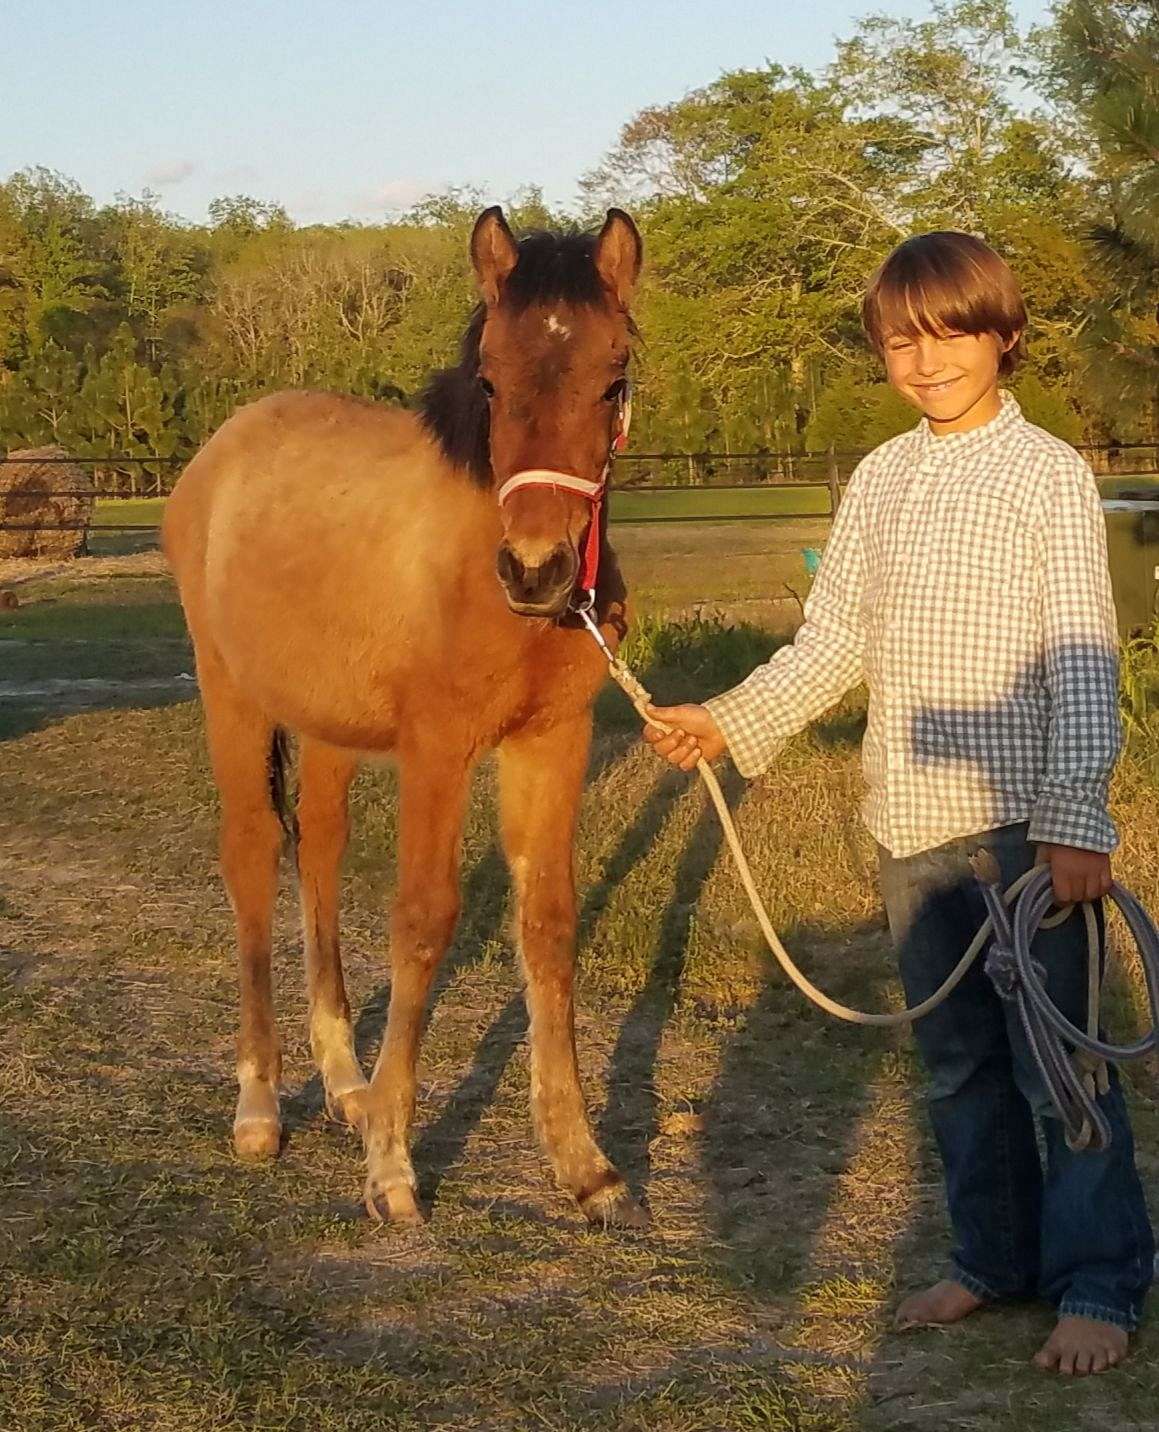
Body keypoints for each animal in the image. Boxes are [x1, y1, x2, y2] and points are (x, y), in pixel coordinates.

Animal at [163, 206, 646, 1228]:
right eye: (490, 379)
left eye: (613, 377)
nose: (537, 572)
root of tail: (219, 453)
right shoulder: (438, 750)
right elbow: (423, 920)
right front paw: (391, 1167)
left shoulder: (553, 742)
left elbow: (547, 923)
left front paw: (581, 1162)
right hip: (232, 698)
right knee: (253, 855)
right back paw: (260, 1105)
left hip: (326, 729)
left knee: (319, 851)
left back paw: (345, 1081)